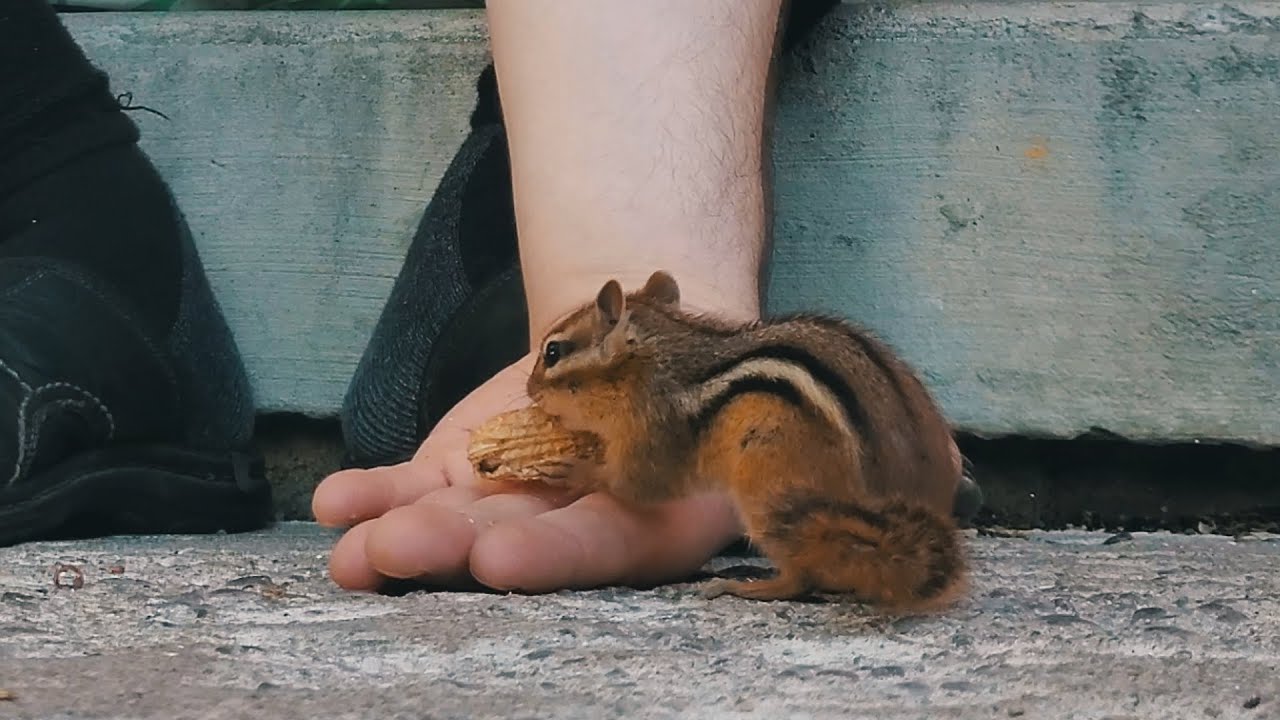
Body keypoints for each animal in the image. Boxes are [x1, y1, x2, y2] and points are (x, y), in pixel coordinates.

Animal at [524, 270, 969, 613]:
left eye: (552, 352)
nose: (529, 391)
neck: (653, 358)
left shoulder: (654, 431)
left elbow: (635, 485)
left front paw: (574, 471)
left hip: (766, 488)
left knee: (800, 578)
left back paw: (744, 586)